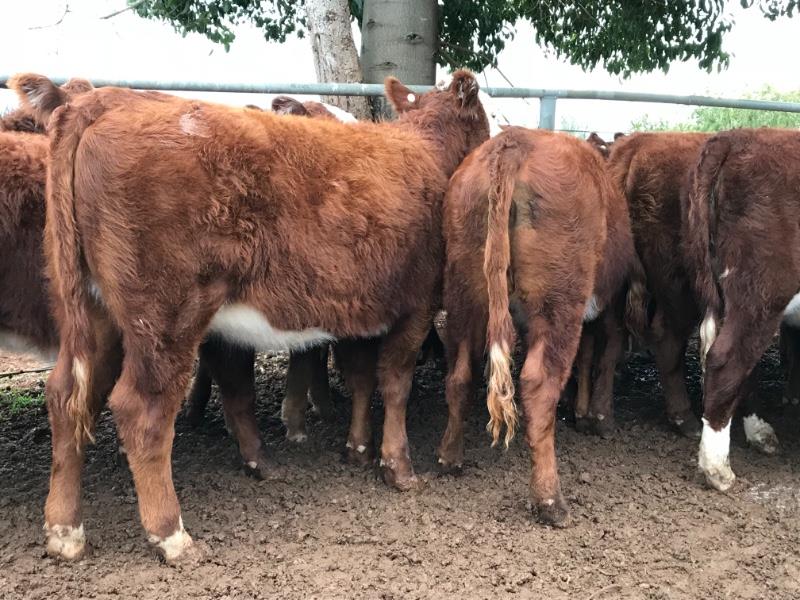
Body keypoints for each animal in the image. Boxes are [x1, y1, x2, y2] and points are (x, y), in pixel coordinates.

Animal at [41, 71, 489, 562]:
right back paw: (172, 535)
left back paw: (65, 531)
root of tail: (107, 100)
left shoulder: (363, 309)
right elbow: (395, 384)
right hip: (165, 317)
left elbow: (361, 379)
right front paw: (399, 467)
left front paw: (358, 449)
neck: (428, 151)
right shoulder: (416, 304)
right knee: (141, 409)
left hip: (96, 314)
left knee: (67, 395)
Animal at [436, 127, 615, 526]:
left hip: (464, 293)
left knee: (459, 375)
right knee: (538, 384)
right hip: (560, 304)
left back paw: (449, 457)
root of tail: (515, 143)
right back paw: (550, 500)